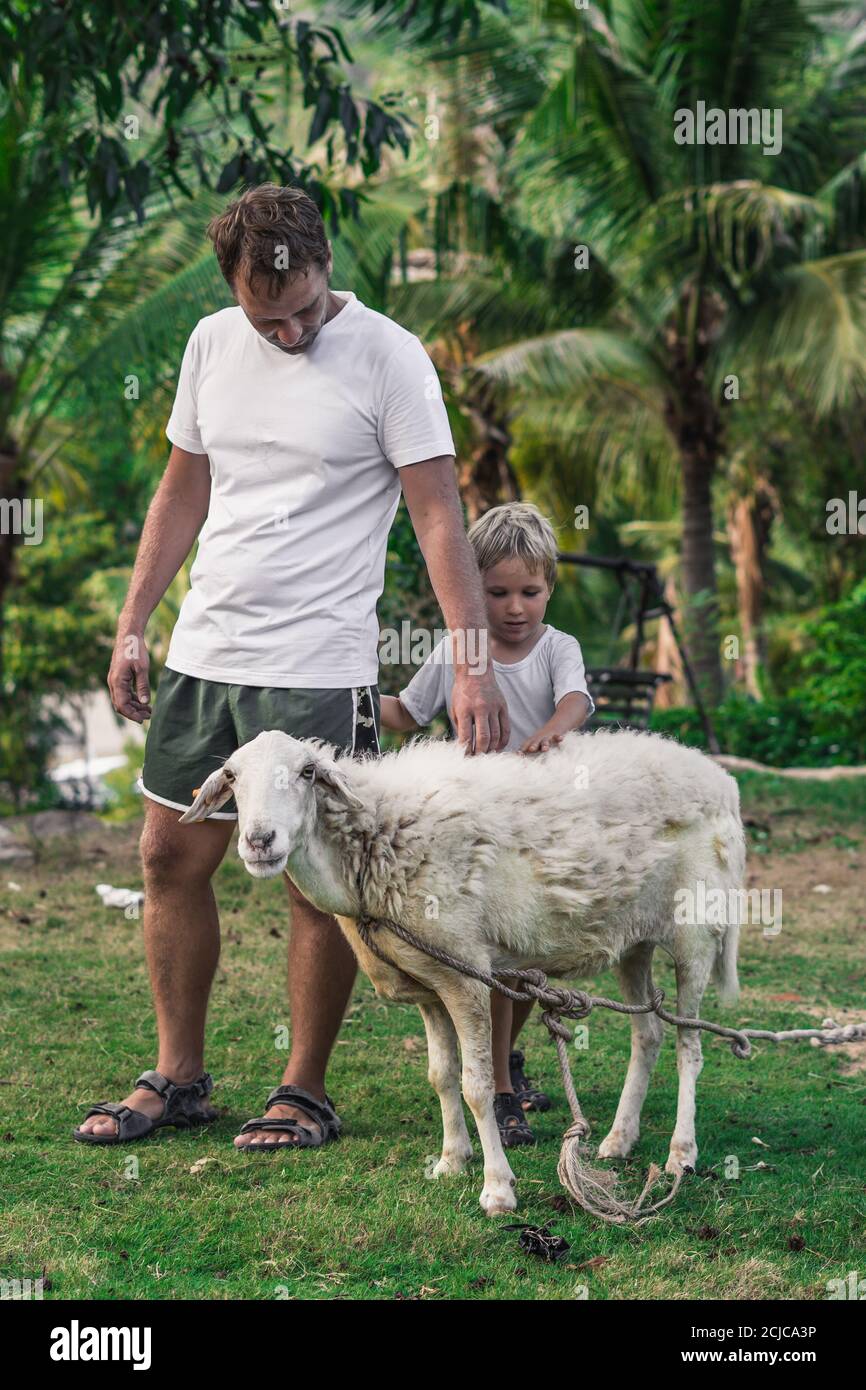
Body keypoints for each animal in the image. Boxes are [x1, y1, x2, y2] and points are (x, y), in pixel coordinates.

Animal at [180, 727, 745, 1217]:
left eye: (306, 773)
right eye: (231, 776)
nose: (259, 840)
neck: (376, 839)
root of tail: (720, 779)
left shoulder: (466, 972)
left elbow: (476, 1083)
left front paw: (498, 1189)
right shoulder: (430, 983)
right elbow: (441, 1075)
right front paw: (452, 1161)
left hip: (695, 931)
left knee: (689, 1045)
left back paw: (681, 1152)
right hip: (634, 939)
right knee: (647, 1034)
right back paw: (618, 1139)